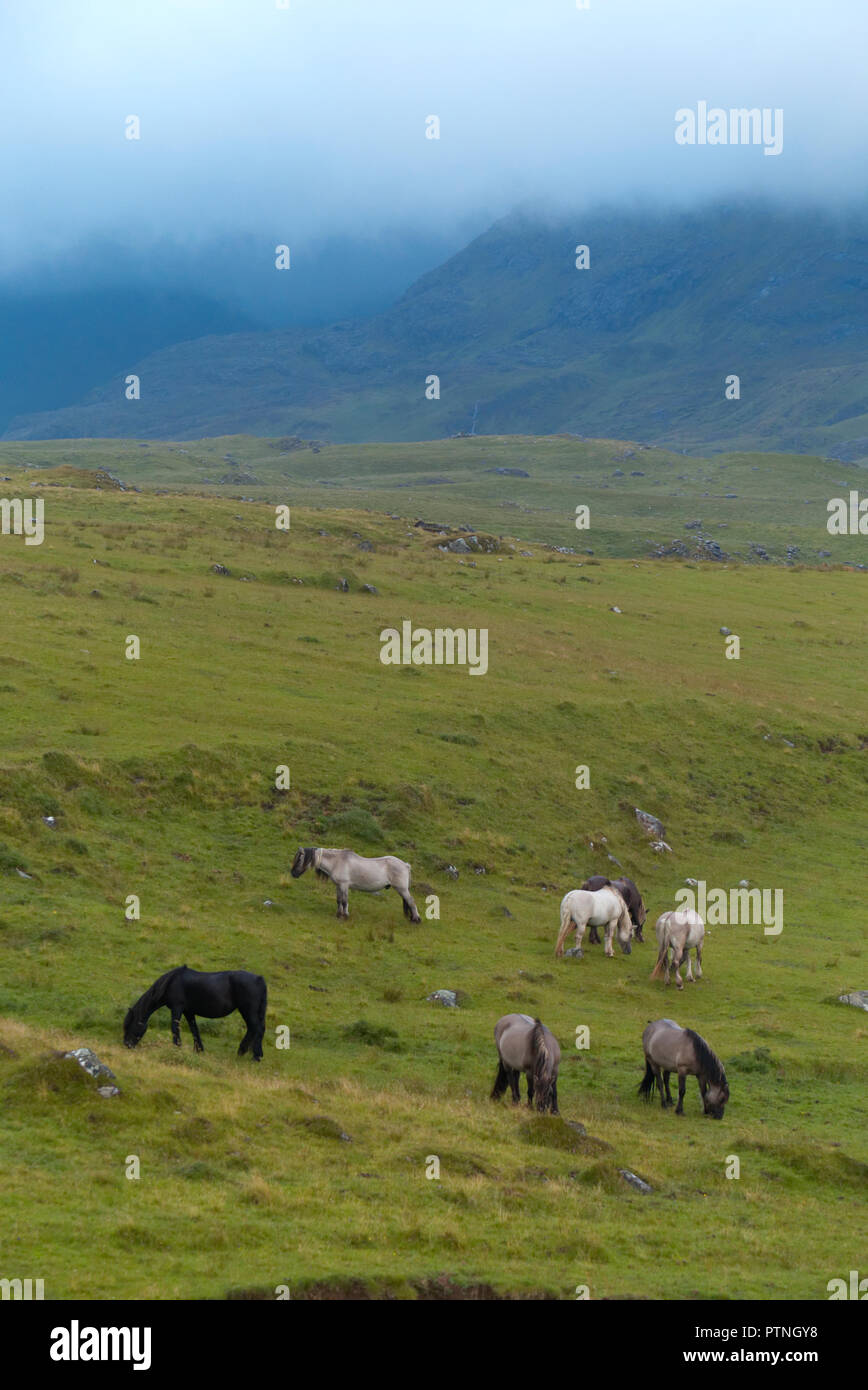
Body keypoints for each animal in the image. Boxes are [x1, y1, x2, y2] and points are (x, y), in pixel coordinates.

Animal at [123, 966, 267, 1061]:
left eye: (129, 1025)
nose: (126, 1045)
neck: (171, 982)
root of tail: (259, 979)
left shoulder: (177, 1008)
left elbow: (175, 1028)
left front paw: (177, 1047)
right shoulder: (189, 1012)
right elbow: (194, 1029)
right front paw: (199, 1050)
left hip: (248, 1011)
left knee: (257, 1029)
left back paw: (256, 1056)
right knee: (253, 1029)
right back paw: (242, 1052)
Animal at [290, 846, 420, 922]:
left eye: (300, 859)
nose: (293, 873)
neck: (337, 862)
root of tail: (405, 865)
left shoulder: (344, 885)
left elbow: (344, 901)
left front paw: (345, 916)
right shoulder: (338, 886)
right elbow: (338, 900)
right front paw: (338, 914)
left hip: (402, 889)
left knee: (411, 902)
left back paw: (416, 920)